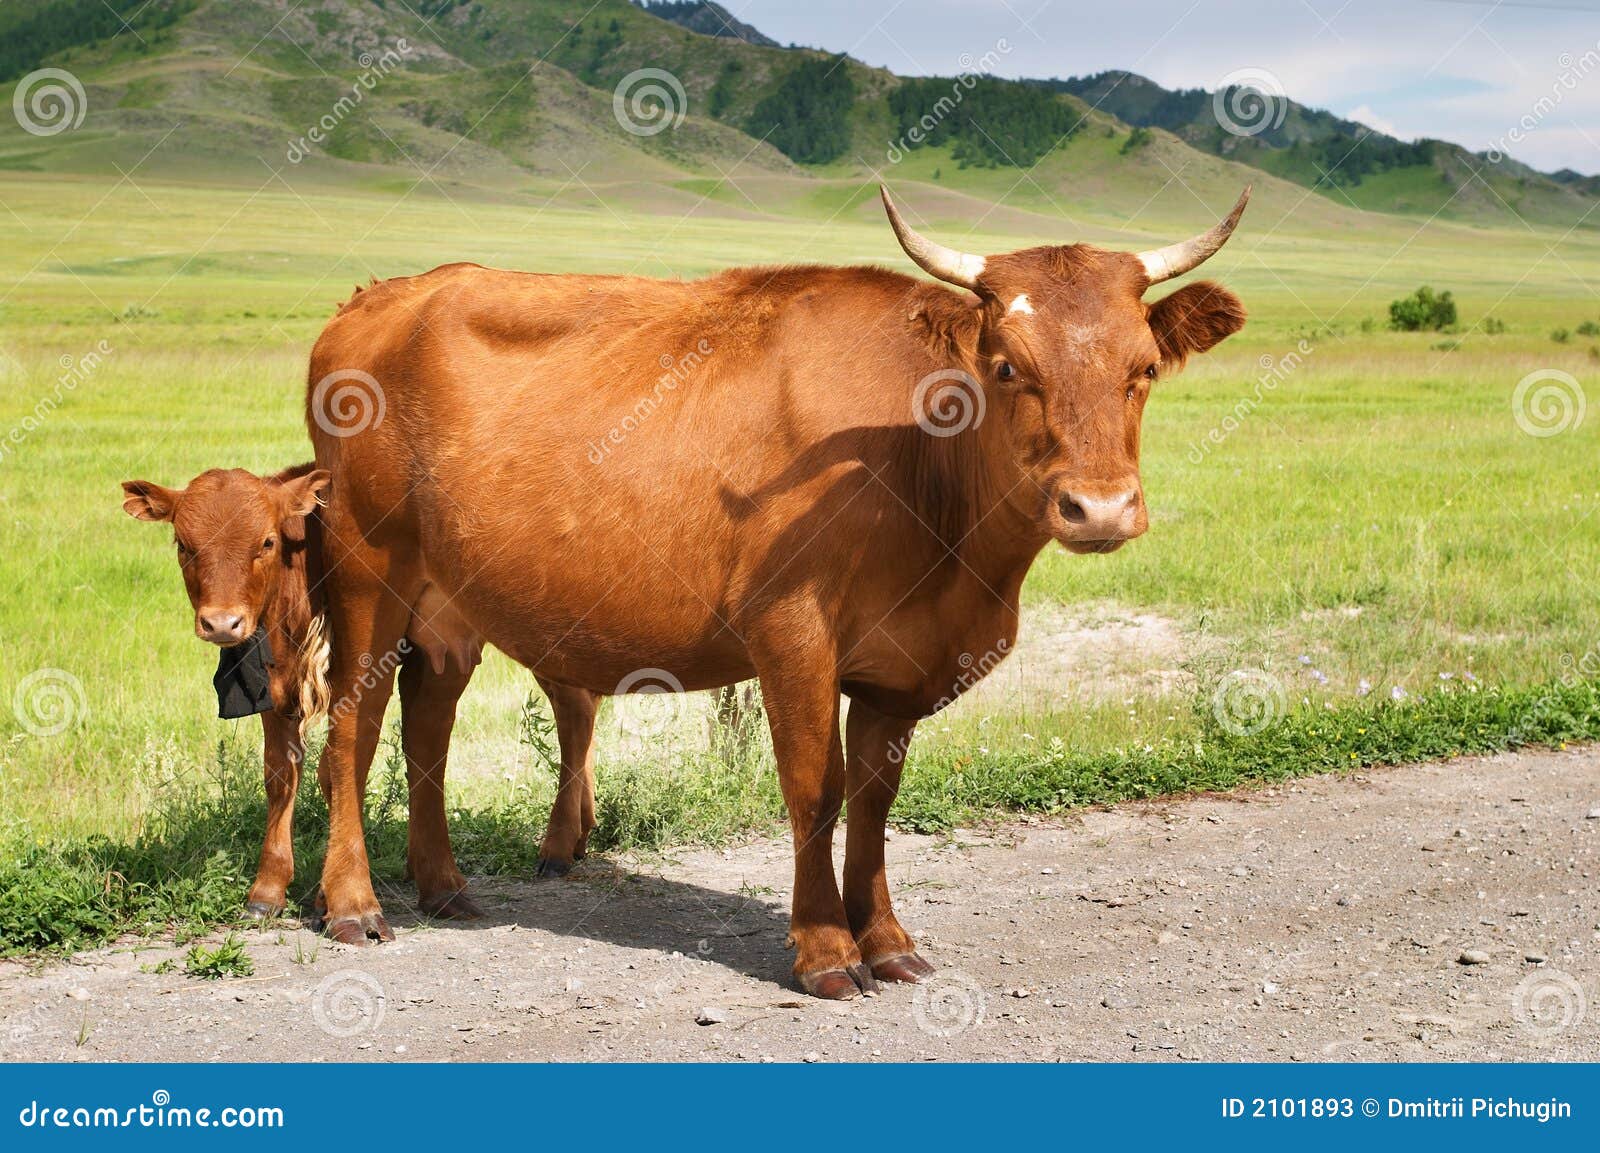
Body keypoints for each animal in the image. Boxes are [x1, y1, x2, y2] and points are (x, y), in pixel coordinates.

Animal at [120, 465, 484, 922]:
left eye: (266, 542)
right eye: (184, 545)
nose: (222, 623)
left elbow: (337, 768)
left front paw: (331, 893)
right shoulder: (273, 691)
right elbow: (281, 775)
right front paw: (269, 887)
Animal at [303, 184, 1250, 997]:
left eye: (1143, 368)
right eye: (1009, 366)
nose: (1100, 506)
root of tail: (378, 298)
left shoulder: (898, 665)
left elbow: (874, 799)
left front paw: (889, 941)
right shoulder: (793, 632)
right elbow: (814, 787)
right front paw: (827, 951)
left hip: (445, 603)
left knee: (427, 727)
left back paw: (443, 886)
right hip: (368, 568)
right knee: (352, 727)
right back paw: (353, 902)